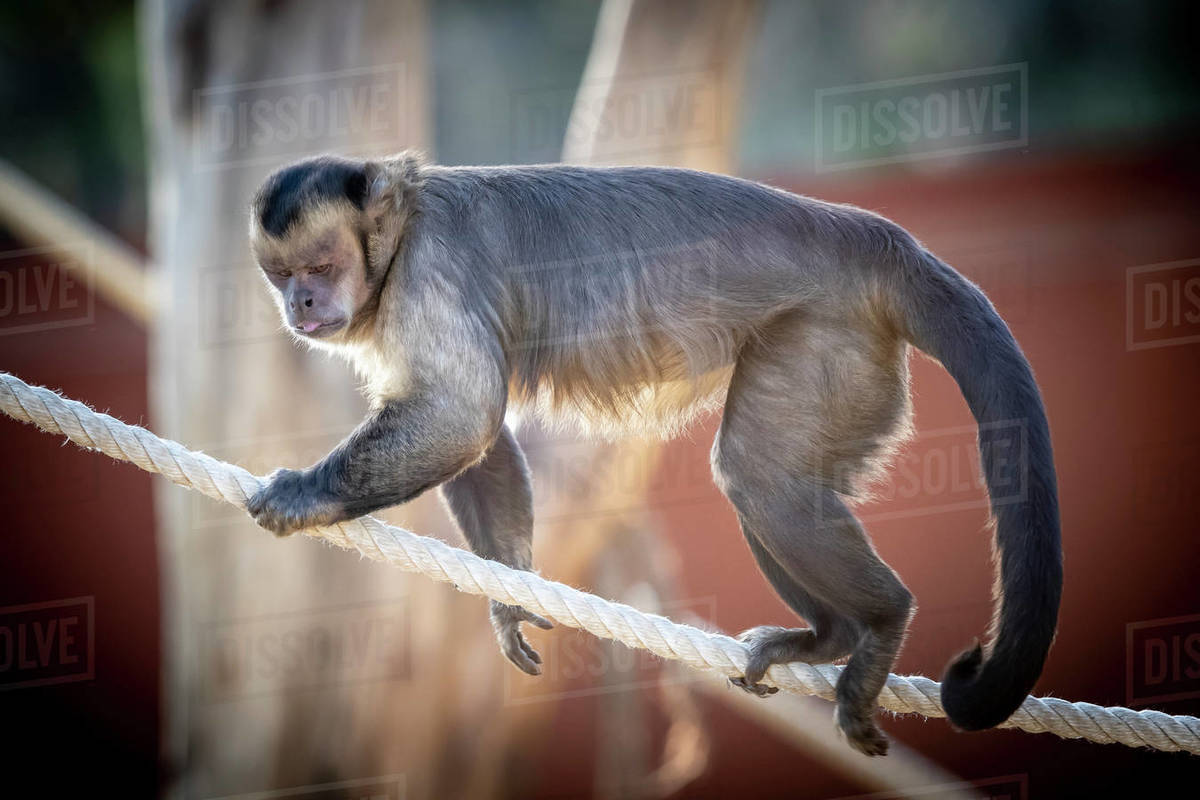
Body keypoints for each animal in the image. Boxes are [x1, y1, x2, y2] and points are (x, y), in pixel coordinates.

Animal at [245, 152, 1062, 756]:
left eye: (320, 267)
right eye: (282, 277)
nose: (300, 305)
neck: (401, 230)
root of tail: (877, 241)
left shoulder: (426, 273)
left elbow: (460, 413)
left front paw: (304, 493)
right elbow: (478, 437)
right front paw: (510, 596)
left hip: (832, 336)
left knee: (760, 478)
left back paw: (883, 622)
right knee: (765, 483)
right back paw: (827, 638)